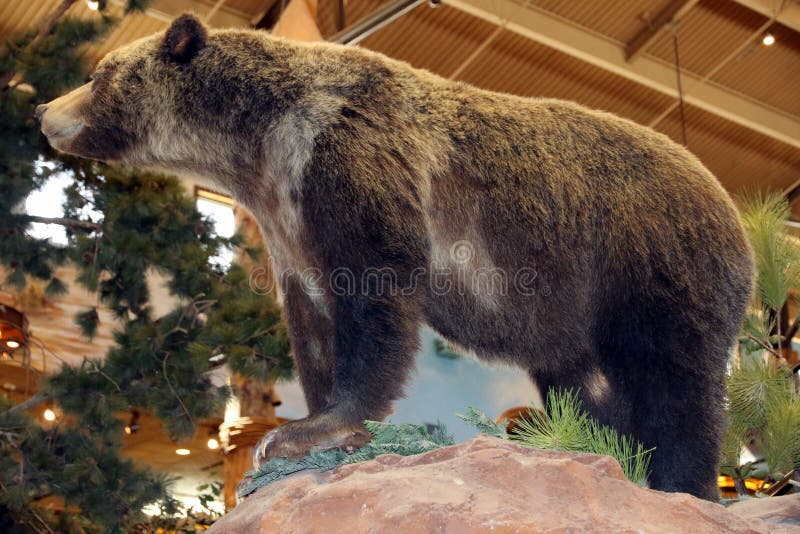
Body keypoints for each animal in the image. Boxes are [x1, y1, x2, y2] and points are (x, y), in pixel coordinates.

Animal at [37, 13, 754, 500]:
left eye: (96, 74)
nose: (43, 108)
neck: (257, 147)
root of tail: (735, 210)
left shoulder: (349, 160)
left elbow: (375, 294)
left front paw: (304, 430)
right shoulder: (287, 222)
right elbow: (312, 323)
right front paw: (311, 422)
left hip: (649, 265)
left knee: (676, 383)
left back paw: (680, 482)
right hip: (574, 316)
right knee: (590, 388)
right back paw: (608, 456)